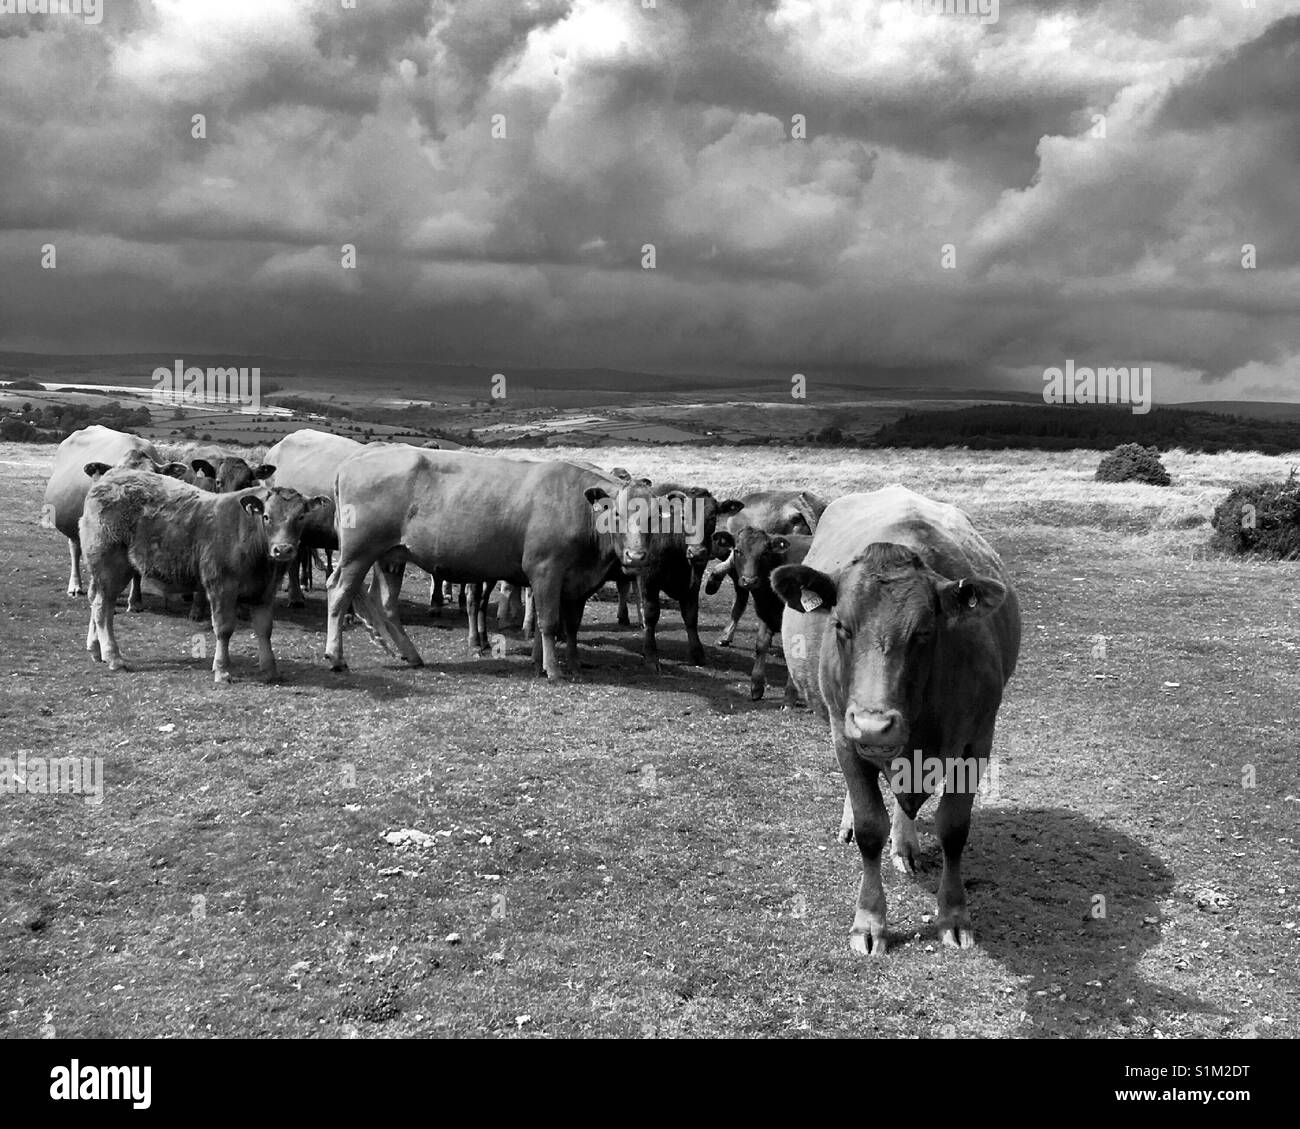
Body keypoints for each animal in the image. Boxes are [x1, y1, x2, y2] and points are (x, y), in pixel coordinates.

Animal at [79, 470, 328, 683]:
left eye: (301, 516)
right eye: (266, 517)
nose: (283, 550)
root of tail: (109, 477)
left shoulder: (265, 591)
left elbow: (265, 629)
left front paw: (270, 670)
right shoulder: (222, 587)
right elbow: (224, 628)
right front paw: (222, 670)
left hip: (104, 572)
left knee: (95, 600)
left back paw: (96, 649)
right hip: (110, 568)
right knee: (102, 608)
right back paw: (113, 657)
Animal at [325, 447, 620, 678]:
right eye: (617, 512)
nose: (632, 556)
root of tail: (355, 460)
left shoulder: (573, 582)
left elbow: (562, 624)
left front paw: (556, 664)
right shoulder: (546, 570)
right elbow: (548, 621)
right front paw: (552, 669)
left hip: (391, 557)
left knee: (384, 603)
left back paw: (409, 654)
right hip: (359, 552)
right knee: (339, 590)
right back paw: (336, 657)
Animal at [583, 479, 718, 672]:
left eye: (712, 518)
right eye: (683, 517)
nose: (697, 552)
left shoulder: (694, 582)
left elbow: (691, 616)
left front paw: (697, 653)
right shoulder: (648, 580)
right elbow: (652, 614)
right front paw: (651, 655)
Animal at [708, 527, 812, 701]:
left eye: (764, 553)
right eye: (737, 551)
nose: (749, 581)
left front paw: (789, 696)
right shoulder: (765, 613)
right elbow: (761, 645)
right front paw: (756, 685)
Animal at [771, 485, 1021, 956]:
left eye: (923, 632)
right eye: (840, 625)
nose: (873, 725)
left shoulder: (977, 741)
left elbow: (954, 828)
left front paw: (954, 916)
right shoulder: (843, 734)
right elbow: (871, 826)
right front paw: (869, 921)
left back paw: (905, 844)